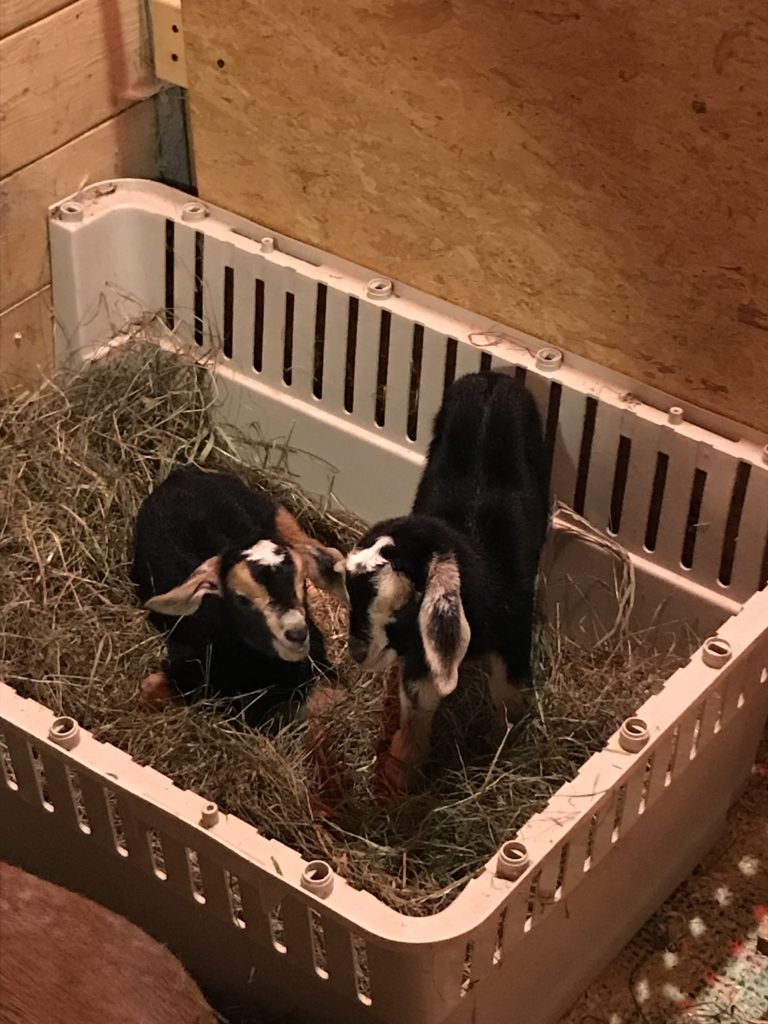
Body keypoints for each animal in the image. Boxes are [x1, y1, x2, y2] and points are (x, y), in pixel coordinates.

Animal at [131, 465, 347, 720]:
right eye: (242, 599)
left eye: (299, 581)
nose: (297, 634)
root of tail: (182, 474)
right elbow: (148, 690)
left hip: (278, 515)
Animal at [344, 371, 549, 788]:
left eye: (404, 607)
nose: (357, 652)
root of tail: (492, 377)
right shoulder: (420, 656)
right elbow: (419, 699)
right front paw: (402, 769)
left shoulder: (514, 636)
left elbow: (509, 698)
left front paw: (502, 744)